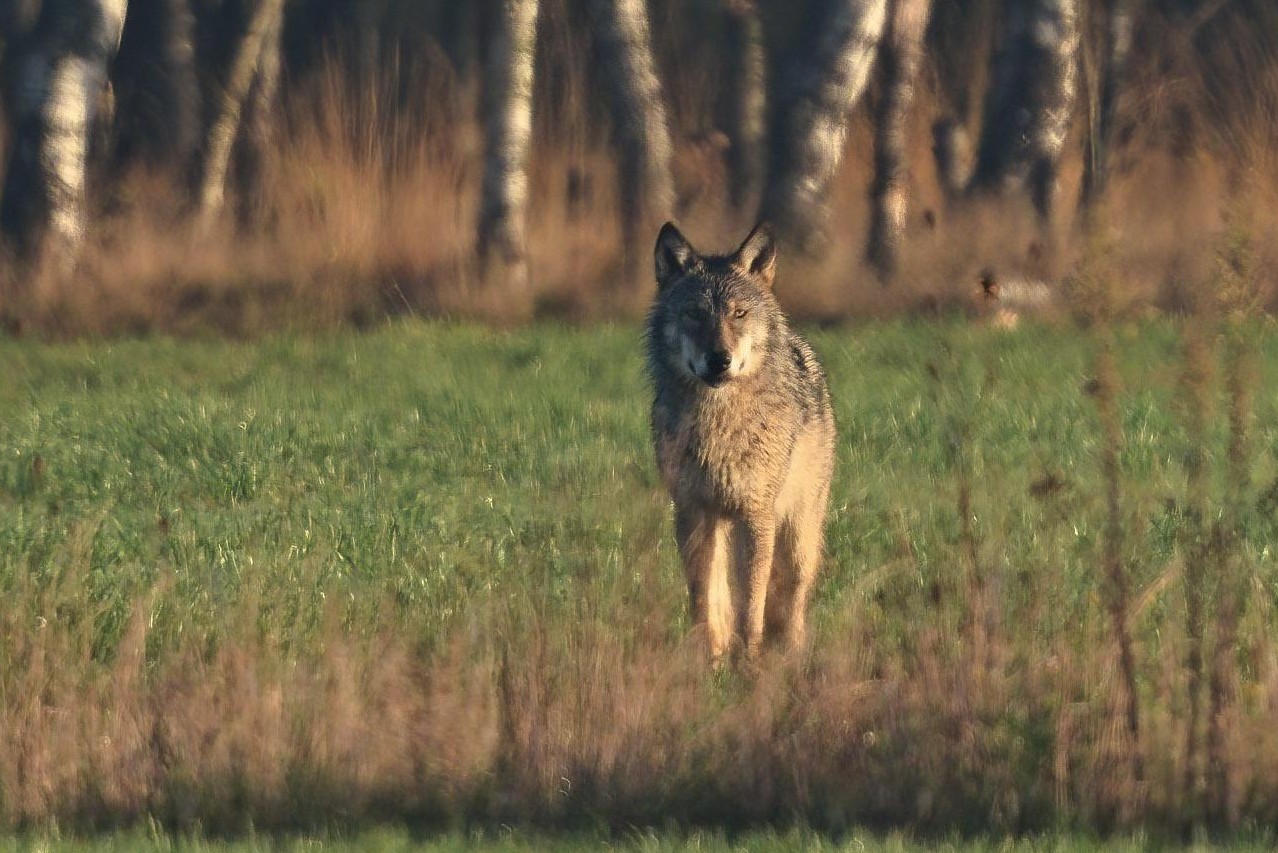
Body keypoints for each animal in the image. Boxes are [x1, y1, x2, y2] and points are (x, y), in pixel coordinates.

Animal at [647, 222, 836, 663]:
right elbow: (704, 595)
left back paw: (790, 652)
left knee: (792, 595)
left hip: (797, 535)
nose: (719, 359)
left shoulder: (756, 514)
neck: (718, 427)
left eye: (738, 313)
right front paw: (709, 658)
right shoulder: (692, 511)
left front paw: (749, 660)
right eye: (695, 313)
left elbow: (752, 600)